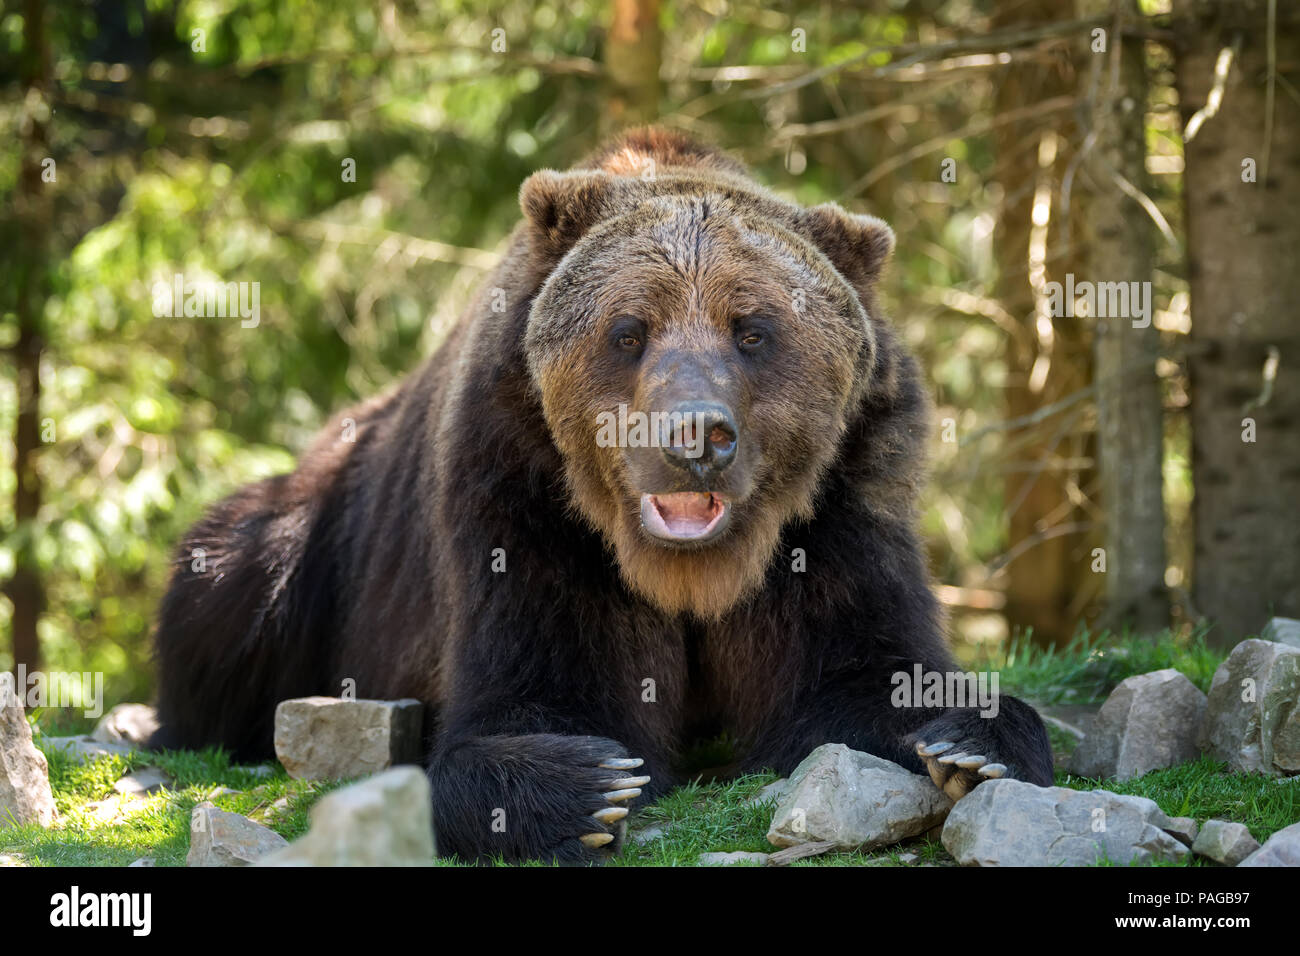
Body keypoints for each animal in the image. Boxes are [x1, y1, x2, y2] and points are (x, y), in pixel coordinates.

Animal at [151, 127, 1054, 863]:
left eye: (753, 330)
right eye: (628, 330)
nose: (695, 435)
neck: (691, 573)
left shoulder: (839, 501)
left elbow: (856, 673)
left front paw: (971, 740)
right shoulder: (522, 493)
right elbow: (549, 690)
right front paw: (583, 785)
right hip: (322, 526)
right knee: (232, 582)